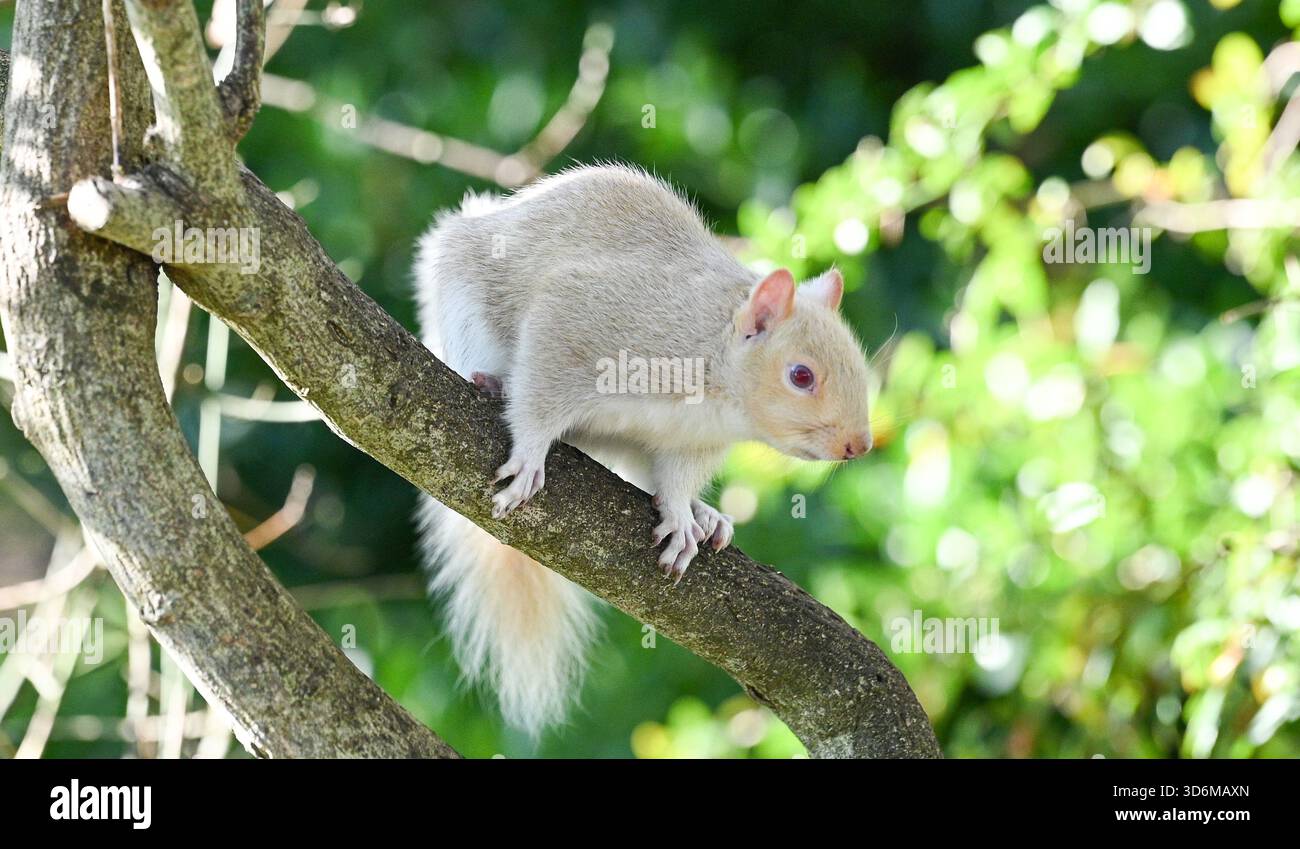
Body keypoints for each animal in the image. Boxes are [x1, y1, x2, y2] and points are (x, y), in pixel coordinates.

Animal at [413, 164, 873, 737]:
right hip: (464, 299)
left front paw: (680, 515)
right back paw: (490, 381)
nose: (859, 445)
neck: (716, 381)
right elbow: (541, 393)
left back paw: (705, 515)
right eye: (801, 375)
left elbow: (674, 481)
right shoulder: (588, 323)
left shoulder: (691, 442)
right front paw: (530, 455)